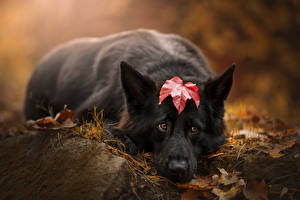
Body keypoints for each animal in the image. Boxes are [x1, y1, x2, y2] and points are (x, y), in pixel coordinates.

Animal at [25, 29, 234, 183]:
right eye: (162, 126)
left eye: (194, 129)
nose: (178, 169)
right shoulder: (82, 112)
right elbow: (107, 123)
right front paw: (123, 139)